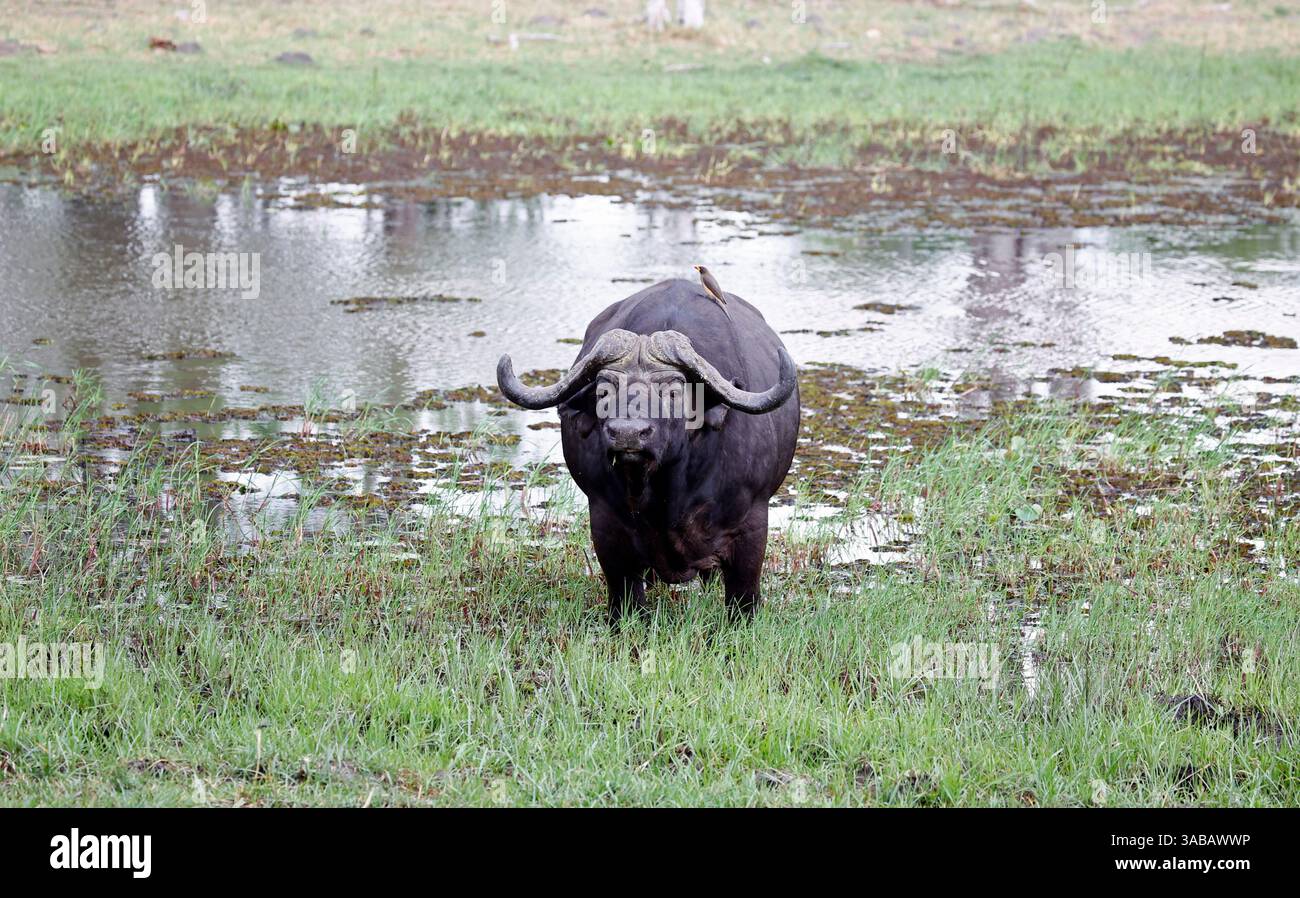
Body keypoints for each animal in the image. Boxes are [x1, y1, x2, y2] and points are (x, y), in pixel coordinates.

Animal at [496, 277, 799, 622]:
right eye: (604, 390)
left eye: (673, 390)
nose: (628, 434)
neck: (666, 494)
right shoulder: (605, 522)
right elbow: (624, 594)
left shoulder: (751, 523)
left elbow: (743, 597)